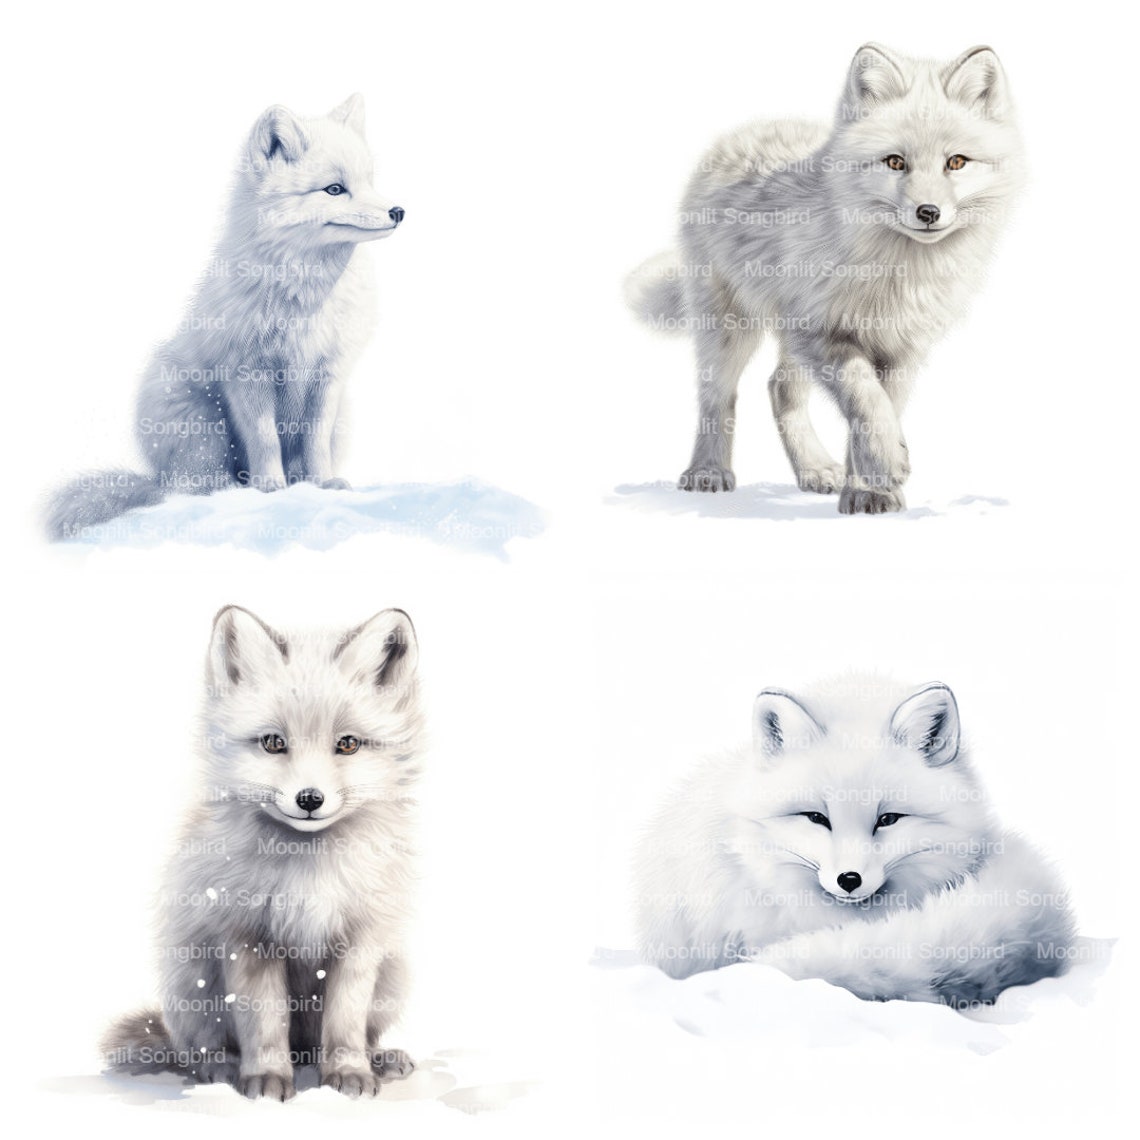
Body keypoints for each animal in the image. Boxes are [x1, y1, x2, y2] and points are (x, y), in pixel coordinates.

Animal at [47, 95, 404, 540]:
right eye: (335, 189)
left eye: (369, 181)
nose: (398, 211)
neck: (304, 297)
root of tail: (159, 478)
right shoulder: (247, 373)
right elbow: (265, 439)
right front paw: (271, 487)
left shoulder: (328, 375)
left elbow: (314, 441)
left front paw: (322, 484)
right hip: (203, 424)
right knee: (195, 486)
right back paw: (229, 489)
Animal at [102, 605, 423, 1100]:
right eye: (274, 743)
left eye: (348, 744)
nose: (309, 799)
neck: (308, 873)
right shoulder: (248, 937)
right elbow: (264, 1022)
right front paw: (267, 1079)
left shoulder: (360, 937)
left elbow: (346, 1023)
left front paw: (348, 1073)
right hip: (193, 983)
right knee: (199, 1049)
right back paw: (221, 1068)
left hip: (394, 974)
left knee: (349, 1036)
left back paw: (379, 1060)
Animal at [626, 44, 1023, 513]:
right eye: (895, 162)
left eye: (956, 162)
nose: (928, 213)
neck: (893, 271)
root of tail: (747, 132)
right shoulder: (823, 332)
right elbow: (866, 402)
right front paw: (886, 465)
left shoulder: (901, 349)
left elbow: (873, 415)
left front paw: (869, 489)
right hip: (732, 328)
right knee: (716, 396)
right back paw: (708, 471)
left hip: (788, 341)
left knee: (779, 388)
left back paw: (813, 469)